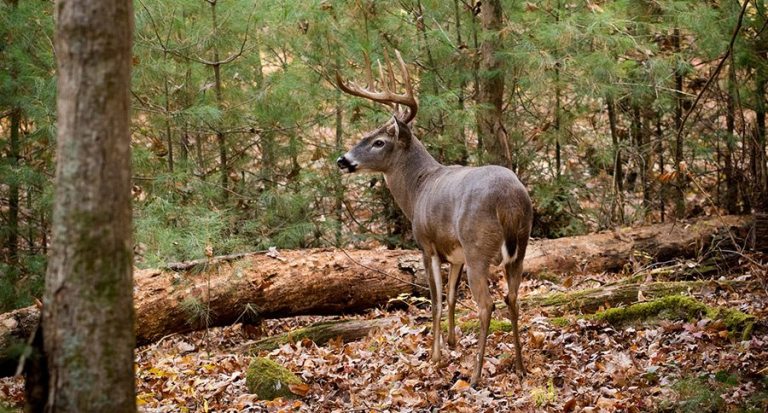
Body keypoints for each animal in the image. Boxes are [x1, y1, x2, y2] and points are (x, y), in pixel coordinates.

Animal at [335, 50, 533, 387]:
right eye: (366, 134)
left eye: (379, 142)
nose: (342, 160)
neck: (418, 188)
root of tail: (509, 199)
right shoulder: (454, 254)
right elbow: (451, 297)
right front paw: (452, 344)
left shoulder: (427, 244)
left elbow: (436, 300)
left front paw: (435, 355)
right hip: (520, 248)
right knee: (513, 299)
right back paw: (519, 367)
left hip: (478, 247)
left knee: (487, 304)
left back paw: (476, 375)